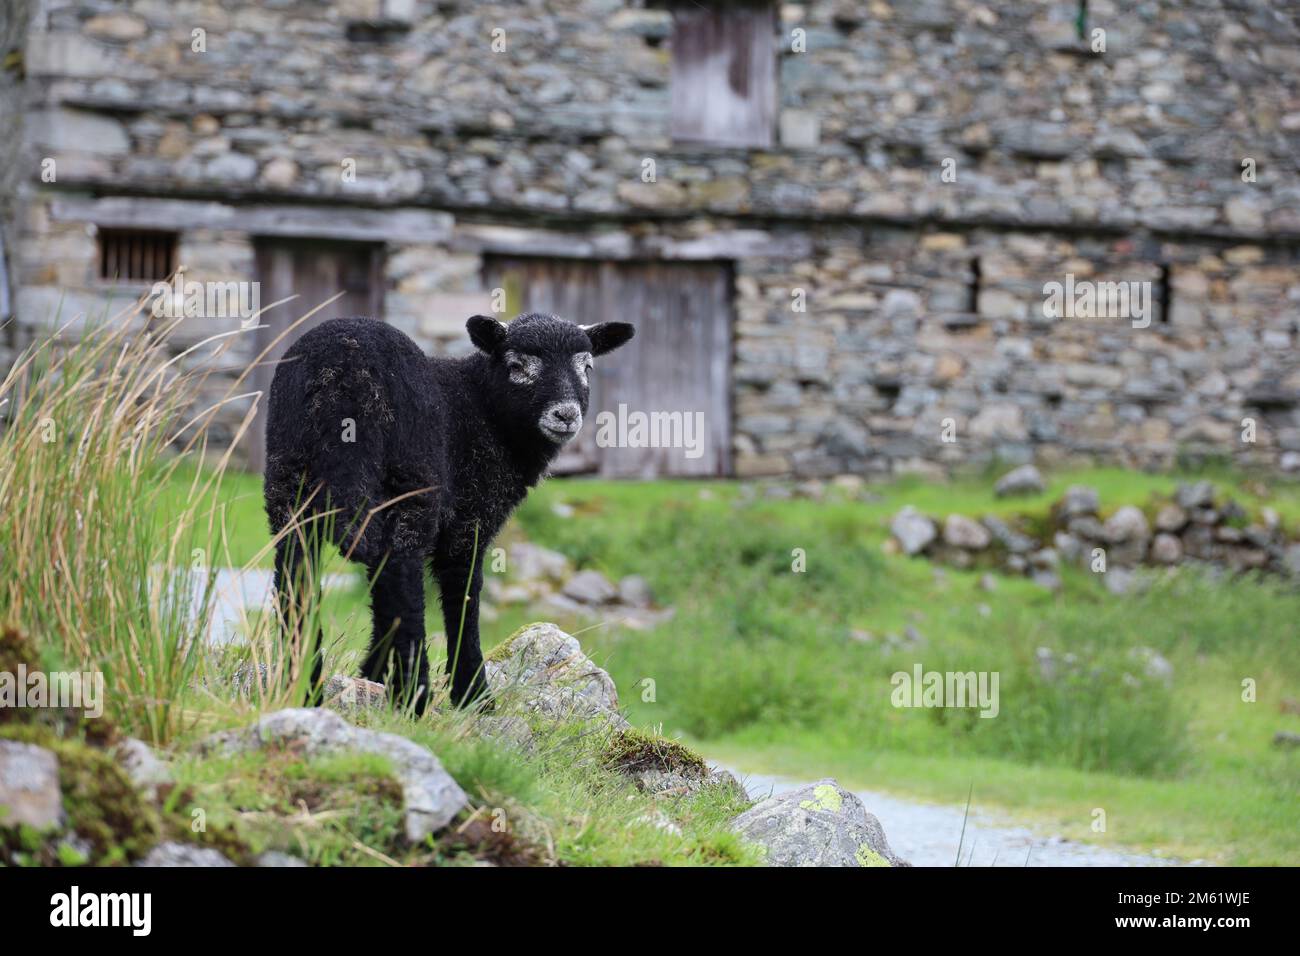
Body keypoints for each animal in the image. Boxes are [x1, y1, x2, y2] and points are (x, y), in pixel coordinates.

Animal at [263, 312, 635, 713]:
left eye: (587, 367)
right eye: (517, 366)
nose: (565, 415)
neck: (484, 407)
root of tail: (342, 370)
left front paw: (372, 672)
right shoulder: (471, 517)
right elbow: (464, 592)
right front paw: (473, 696)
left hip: (289, 476)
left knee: (296, 572)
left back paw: (302, 689)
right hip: (413, 477)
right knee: (400, 573)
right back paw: (413, 697)